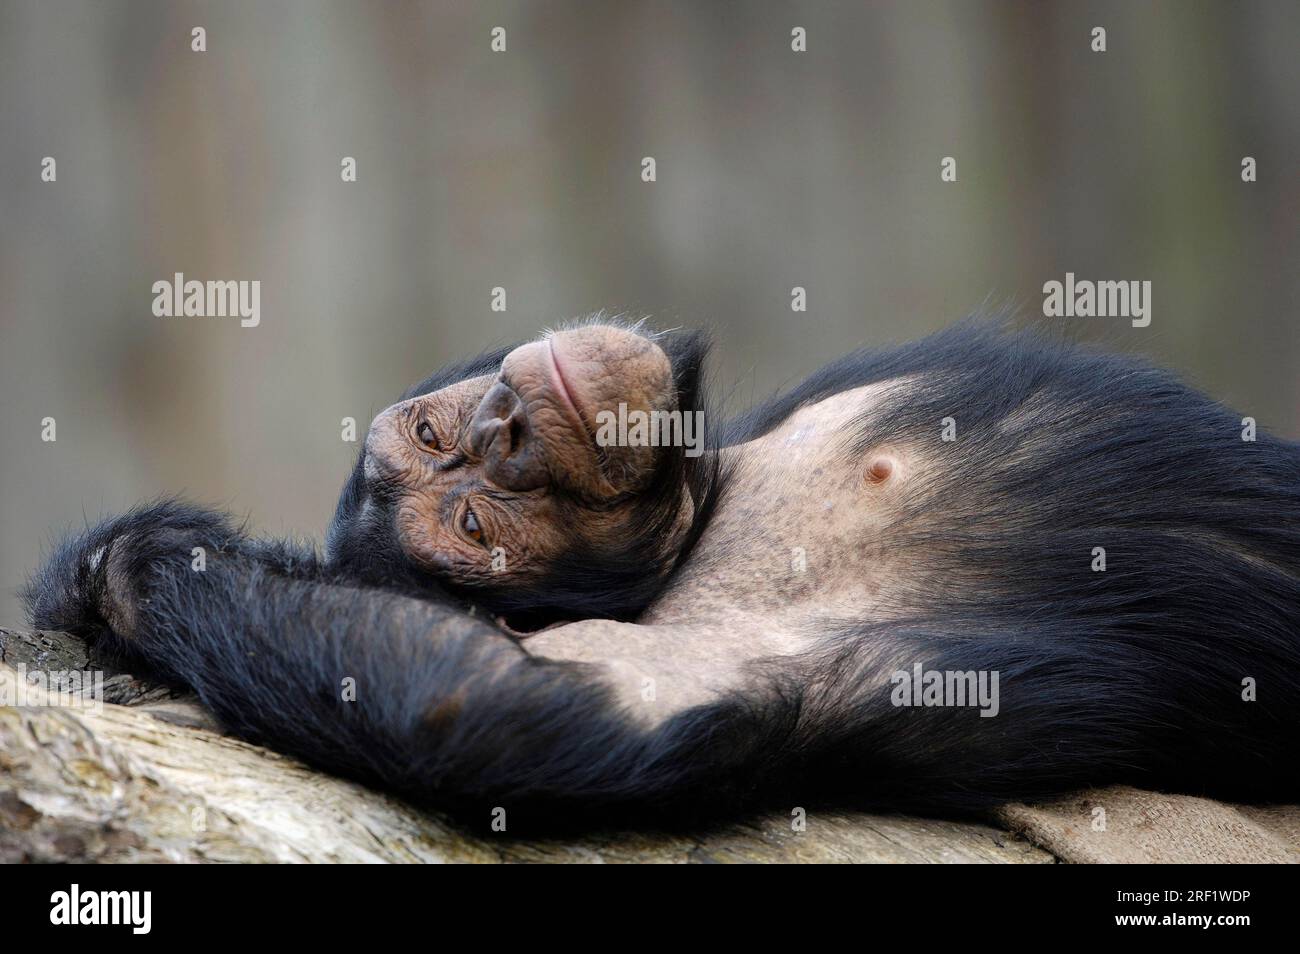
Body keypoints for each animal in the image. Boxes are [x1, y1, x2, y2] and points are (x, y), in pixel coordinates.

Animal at [24, 317, 1300, 831]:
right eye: (480, 523)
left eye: (438, 443)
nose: (500, 430)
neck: (709, 519)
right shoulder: (675, 656)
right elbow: (471, 701)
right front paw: (118, 571)